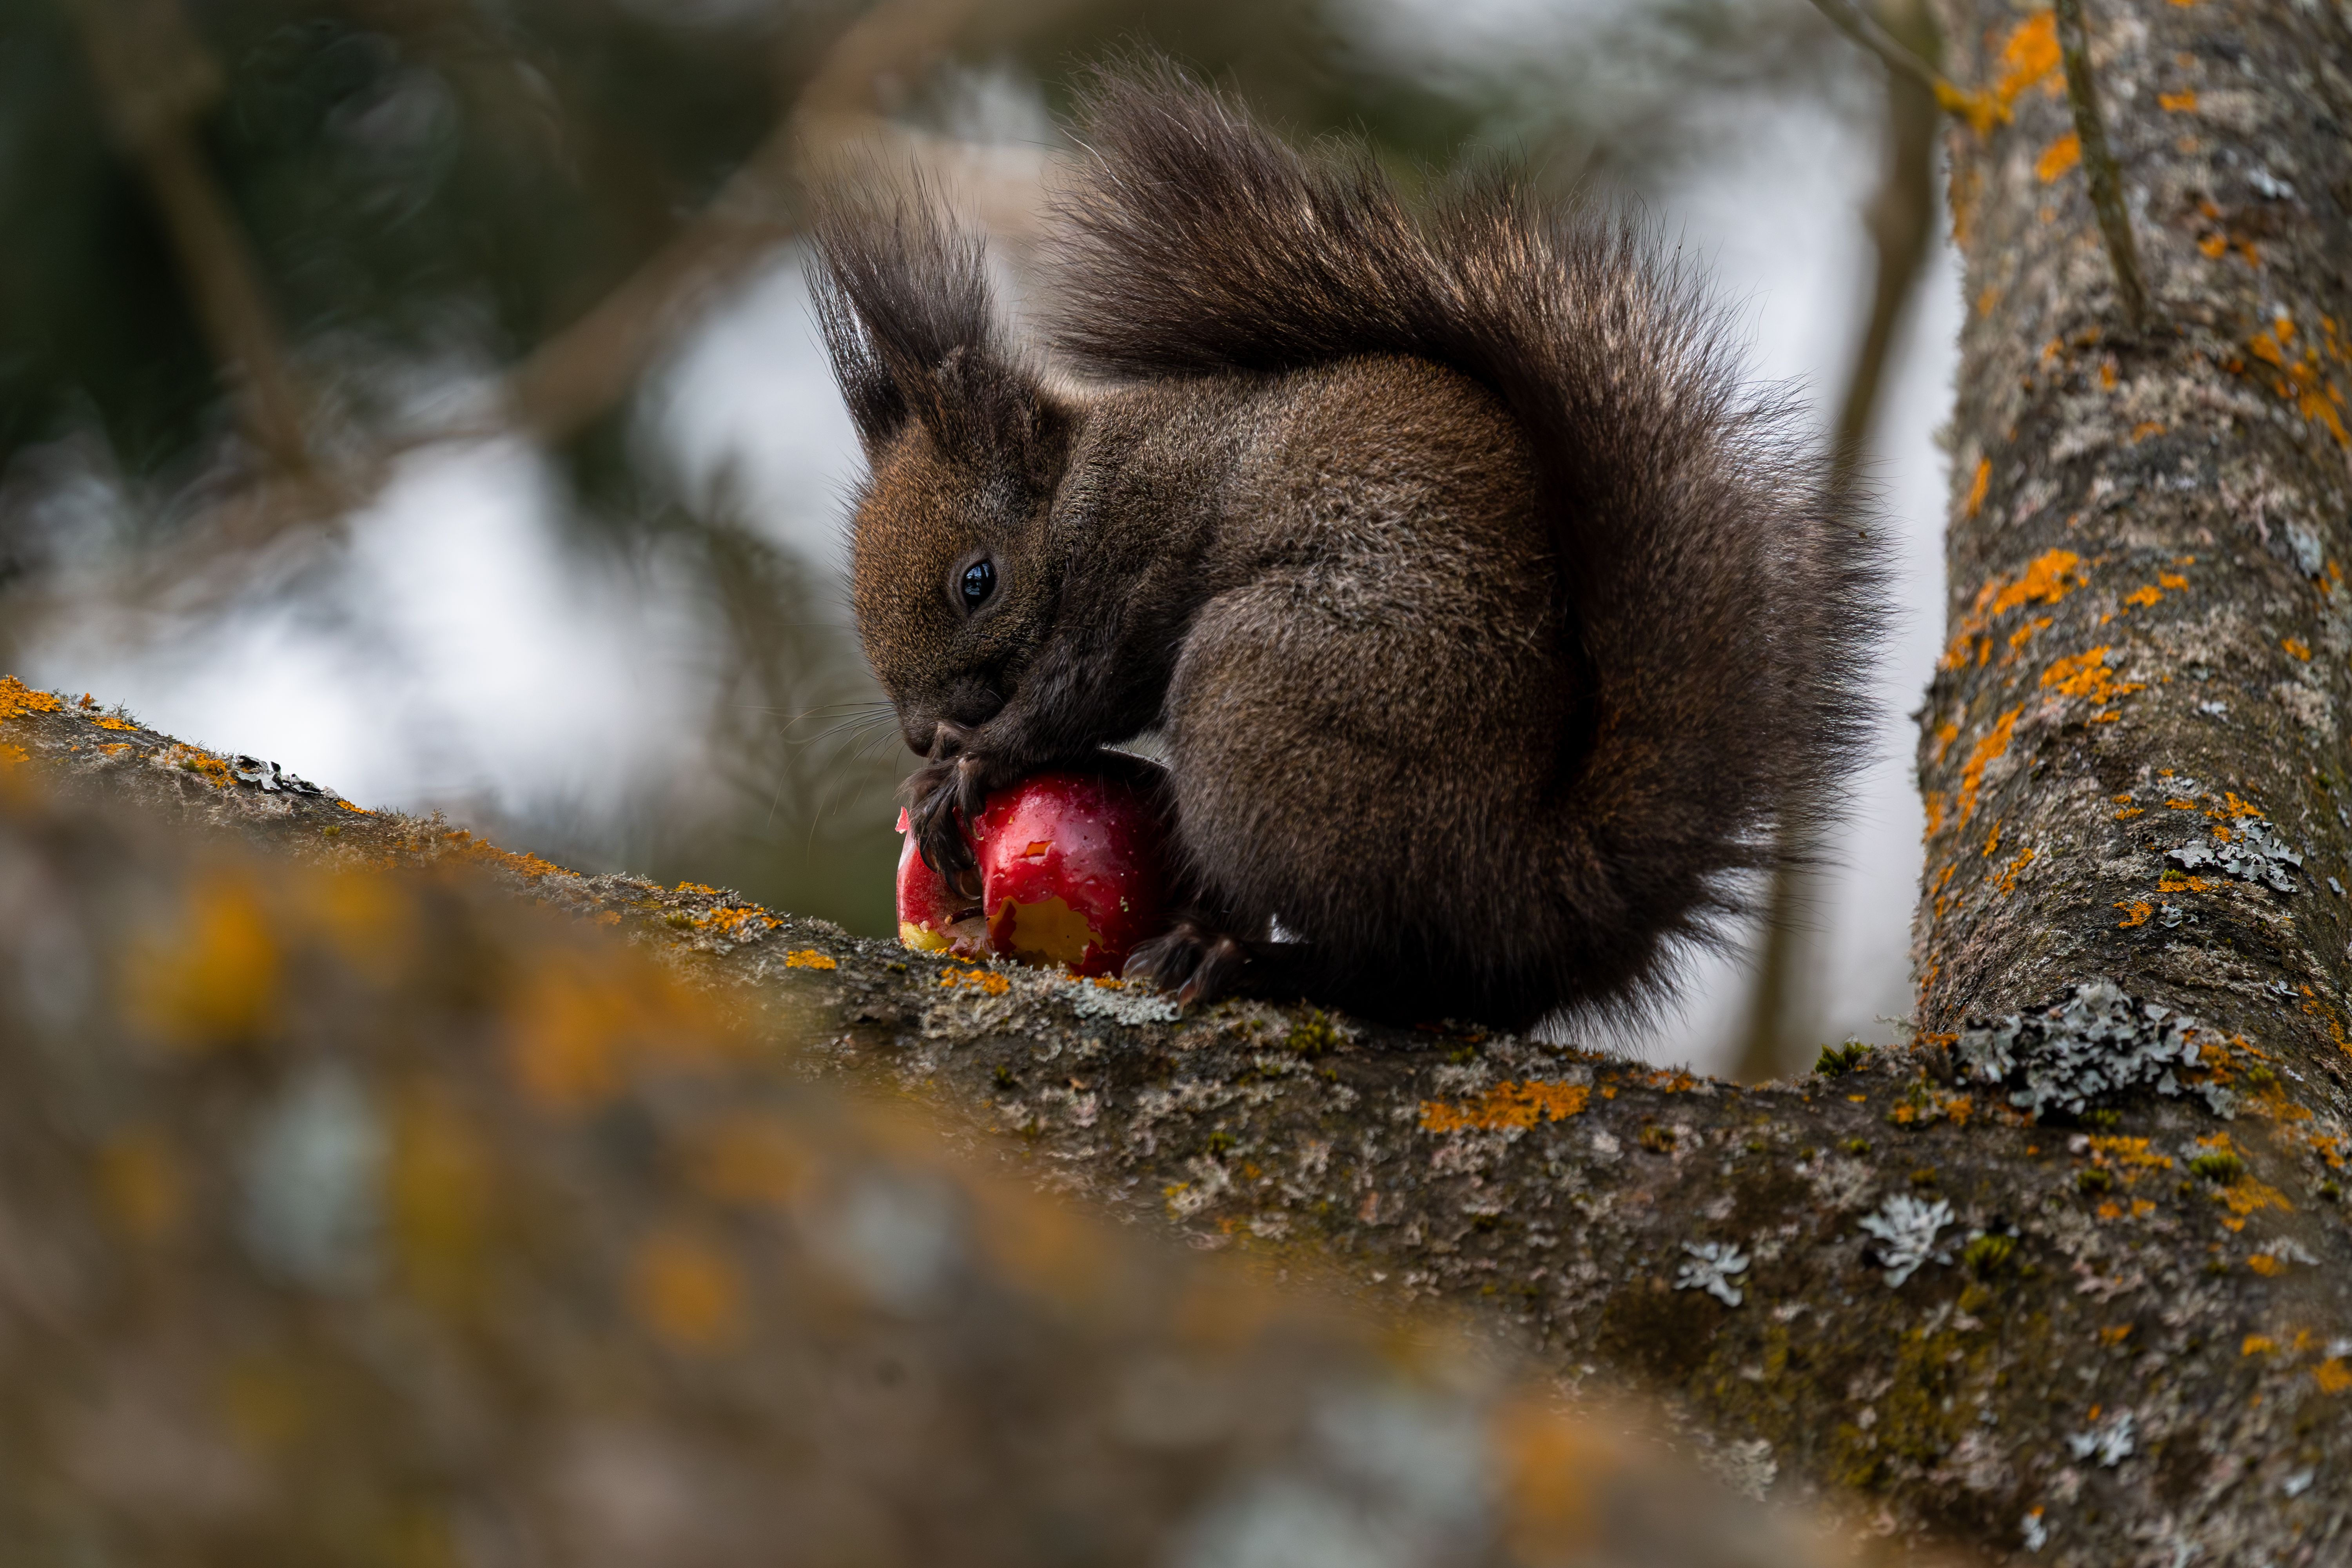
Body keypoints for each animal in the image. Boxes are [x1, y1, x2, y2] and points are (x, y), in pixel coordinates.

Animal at [811, 61, 1884, 1031]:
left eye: (977, 581)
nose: (921, 730)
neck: (1078, 492)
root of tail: (1534, 888)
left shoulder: (1140, 562)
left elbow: (1083, 692)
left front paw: (971, 764)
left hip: (1258, 702)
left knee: (1378, 957)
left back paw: (1235, 955)